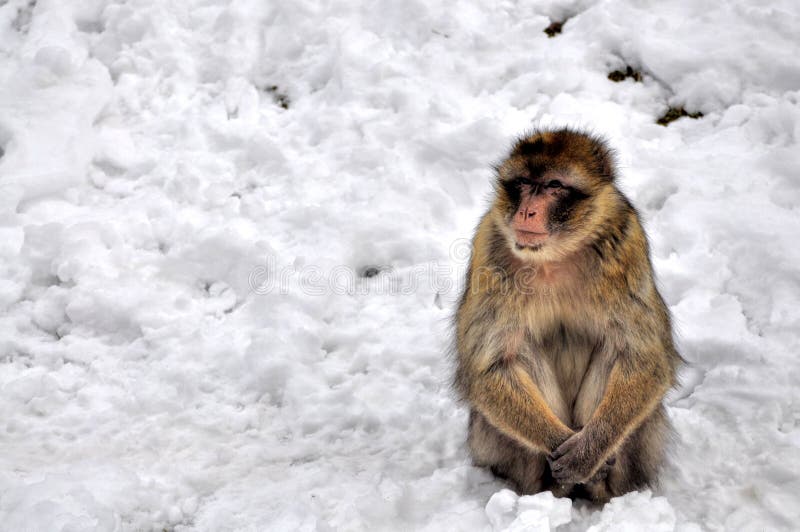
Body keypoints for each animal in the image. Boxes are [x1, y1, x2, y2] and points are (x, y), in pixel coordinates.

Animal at [453, 128, 682, 503]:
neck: (555, 256)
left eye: (554, 186)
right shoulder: (489, 247)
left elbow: (643, 358)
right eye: (523, 183)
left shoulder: (625, 243)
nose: (527, 212)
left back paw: (599, 479)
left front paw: (588, 453)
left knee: (616, 350)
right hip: (493, 445)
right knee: (520, 353)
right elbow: (491, 367)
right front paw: (559, 444)